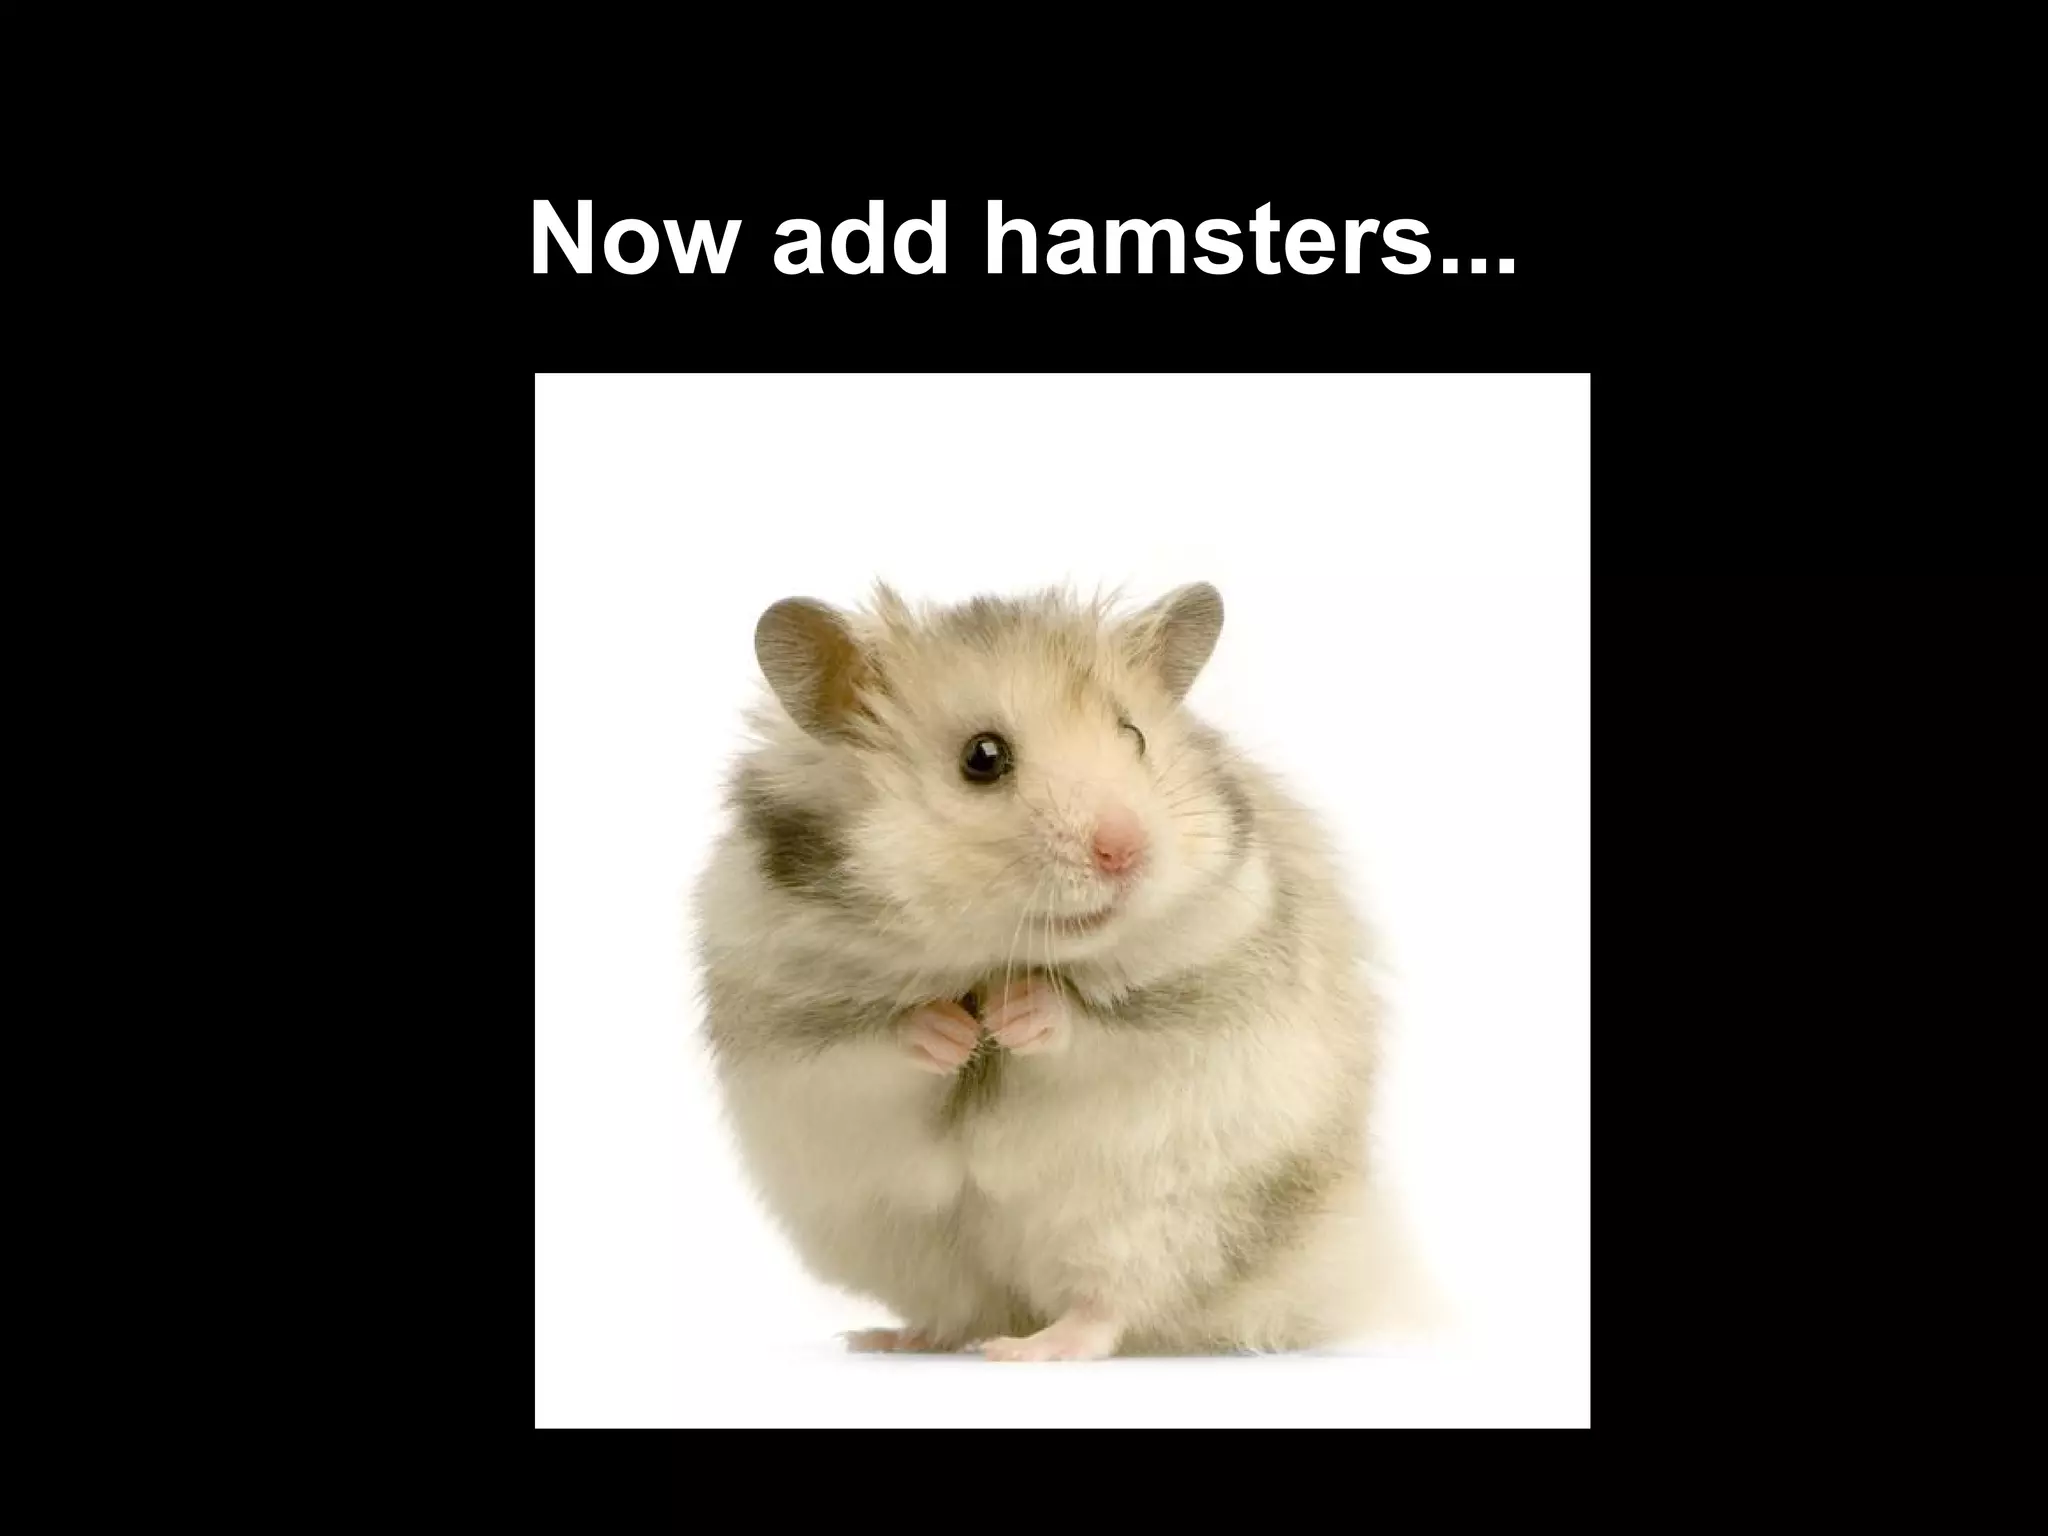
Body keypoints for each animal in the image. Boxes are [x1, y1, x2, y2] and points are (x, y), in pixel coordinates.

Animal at [694, 582, 1423, 1359]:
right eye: (983, 757)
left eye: (1134, 737)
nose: (1126, 851)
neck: (990, 956)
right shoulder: (789, 1022)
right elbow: (877, 1042)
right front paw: (952, 1031)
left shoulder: (1200, 988)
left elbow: (1090, 1025)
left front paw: (1016, 1014)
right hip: (902, 1243)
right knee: (963, 1310)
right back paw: (889, 1338)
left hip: (1158, 1222)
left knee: (1110, 1307)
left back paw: (1029, 1349)